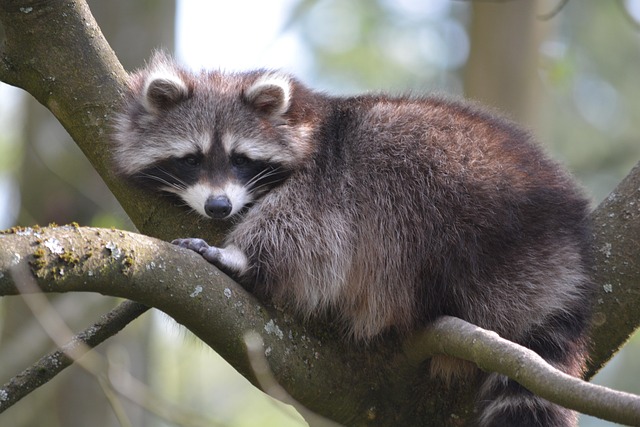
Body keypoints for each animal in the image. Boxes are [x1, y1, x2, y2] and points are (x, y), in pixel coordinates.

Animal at [112, 52, 594, 427]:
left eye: (240, 159)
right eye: (191, 159)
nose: (218, 208)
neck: (309, 122)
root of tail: (569, 239)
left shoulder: (328, 175)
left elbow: (307, 233)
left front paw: (240, 256)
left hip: (477, 218)